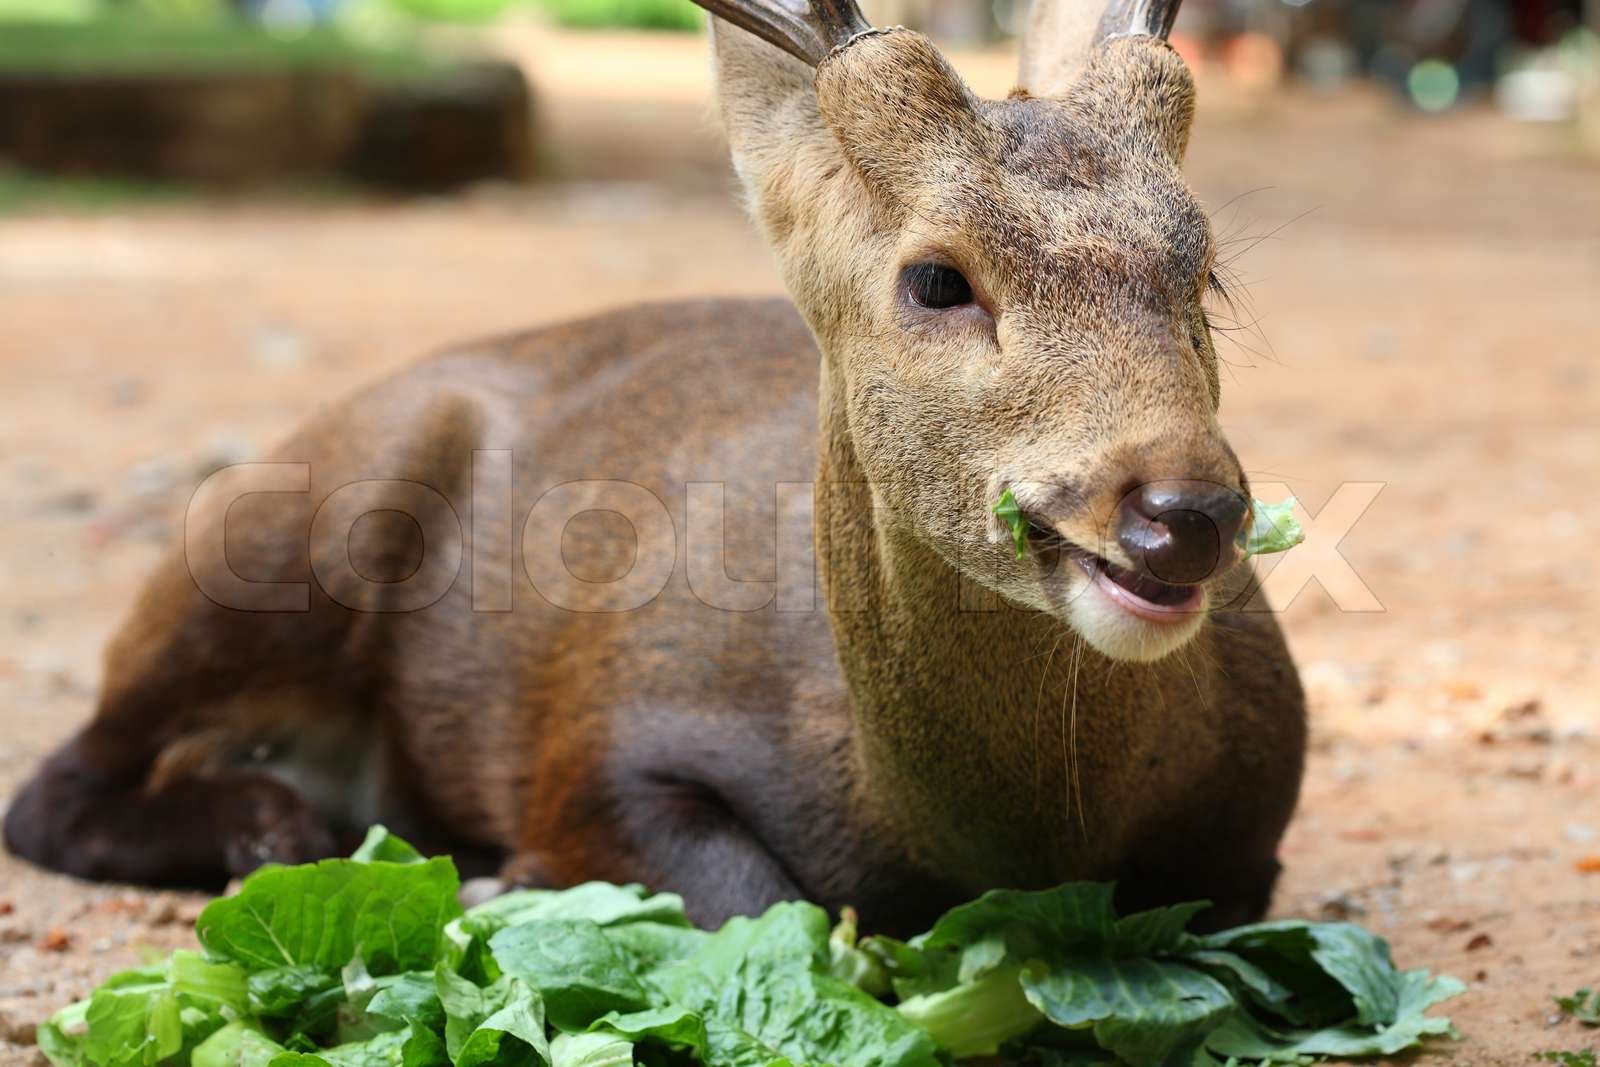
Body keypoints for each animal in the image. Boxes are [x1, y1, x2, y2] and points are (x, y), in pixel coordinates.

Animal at [5, 0, 1306, 935]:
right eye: (937, 277)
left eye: (1201, 271)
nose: (1183, 510)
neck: (995, 848)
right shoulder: (608, 730)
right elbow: (753, 895)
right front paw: (514, 878)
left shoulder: (1251, 832)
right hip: (287, 527)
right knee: (52, 784)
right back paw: (271, 828)